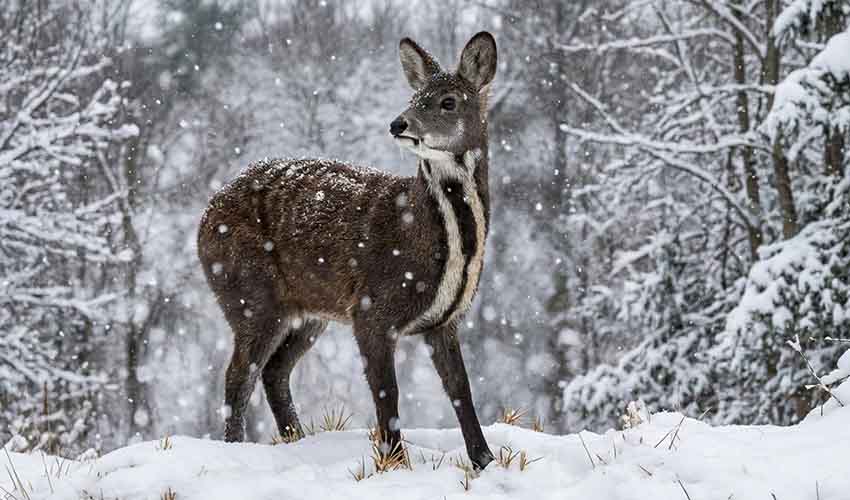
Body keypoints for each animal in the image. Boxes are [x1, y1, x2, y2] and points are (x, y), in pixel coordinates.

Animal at [197, 32, 497, 470]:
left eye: (448, 101)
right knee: (239, 375)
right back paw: (235, 450)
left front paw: (485, 460)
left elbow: (462, 390)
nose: (399, 123)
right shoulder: (371, 309)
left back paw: (297, 440)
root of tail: (204, 216)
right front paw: (394, 464)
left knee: (274, 372)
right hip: (249, 294)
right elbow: (387, 395)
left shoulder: (446, 320)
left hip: (308, 311)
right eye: (414, 95)